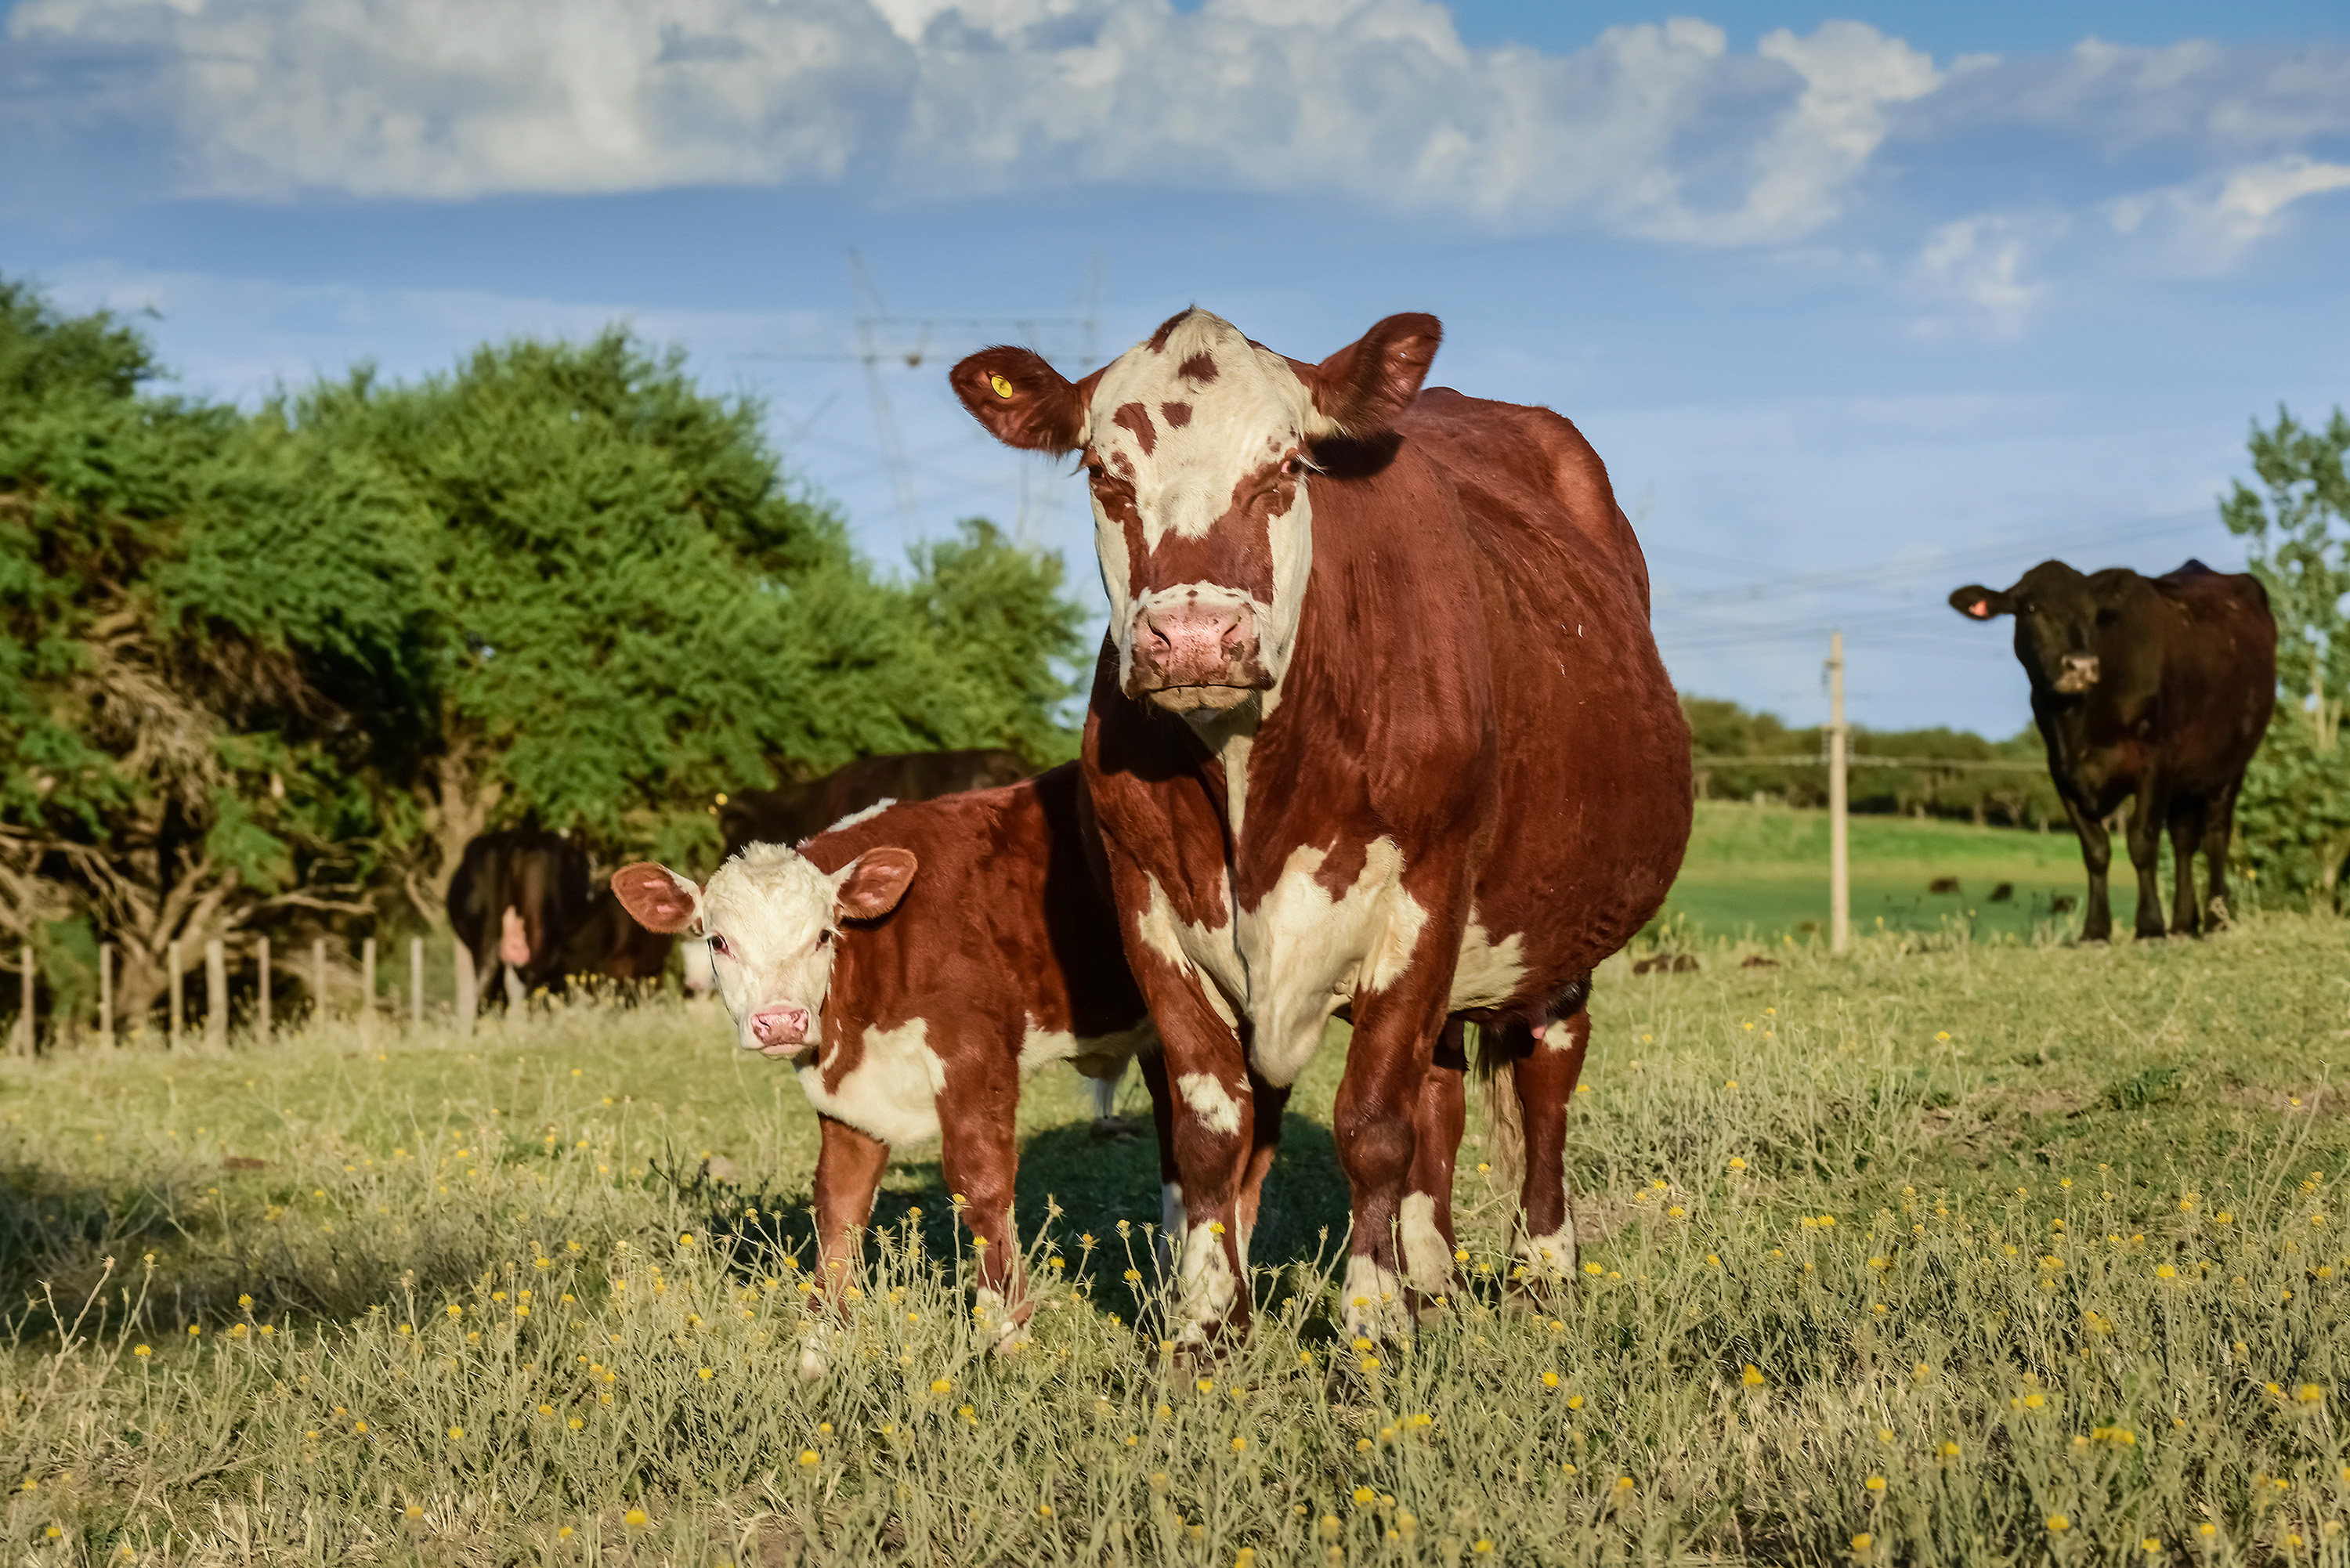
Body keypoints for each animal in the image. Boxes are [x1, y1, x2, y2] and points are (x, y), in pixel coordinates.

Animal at [611, 762, 1159, 1367]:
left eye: (823, 935)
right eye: (718, 941)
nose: (781, 1022)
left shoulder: (977, 1056)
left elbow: (982, 1183)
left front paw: (1005, 1329)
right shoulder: (844, 1092)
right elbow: (839, 1202)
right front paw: (820, 1342)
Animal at [951, 308, 1692, 1348]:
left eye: (1286, 466)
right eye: (1103, 473)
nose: (1193, 640)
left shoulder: (1426, 891)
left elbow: (1373, 1123)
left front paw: (1372, 1324)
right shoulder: (1152, 909)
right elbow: (1212, 1129)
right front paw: (1207, 1326)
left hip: (1561, 923)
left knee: (1544, 1074)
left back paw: (1543, 1271)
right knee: (1440, 1088)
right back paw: (1435, 1276)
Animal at [1949, 558, 2275, 942]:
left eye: (2093, 614)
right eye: (2031, 608)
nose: (2081, 665)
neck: (2079, 722)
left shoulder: (2154, 763)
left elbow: (2142, 842)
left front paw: (2149, 927)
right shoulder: (2062, 771)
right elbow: (2096, 849)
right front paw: (2095, 931)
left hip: (2231, 764)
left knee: (2216, 836)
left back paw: (2215, 921)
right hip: (2187, 775)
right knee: (2183, 839)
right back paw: (2183, 924)